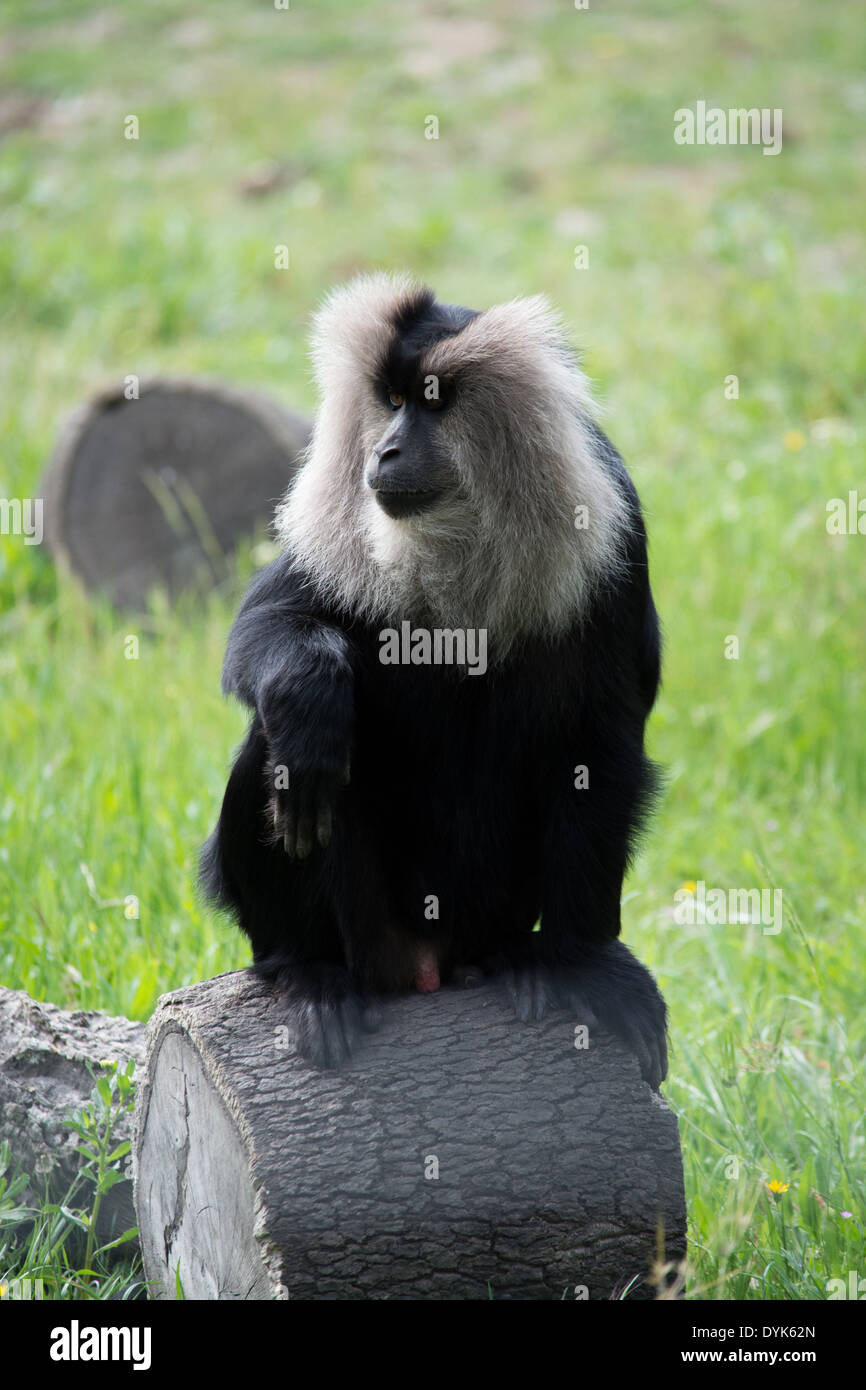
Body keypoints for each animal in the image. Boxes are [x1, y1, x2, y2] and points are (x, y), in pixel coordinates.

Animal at [200, 273, 668, 1087]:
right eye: (390, 401)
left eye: (432, 400)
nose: (385, 449)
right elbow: (268, 623)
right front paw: (312, 697)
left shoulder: (614, 527)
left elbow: (601, 745)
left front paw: (588, 963)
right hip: (362, 928)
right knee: (279, 753)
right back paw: (308, 974)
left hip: (487, 909)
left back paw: (516, 961)